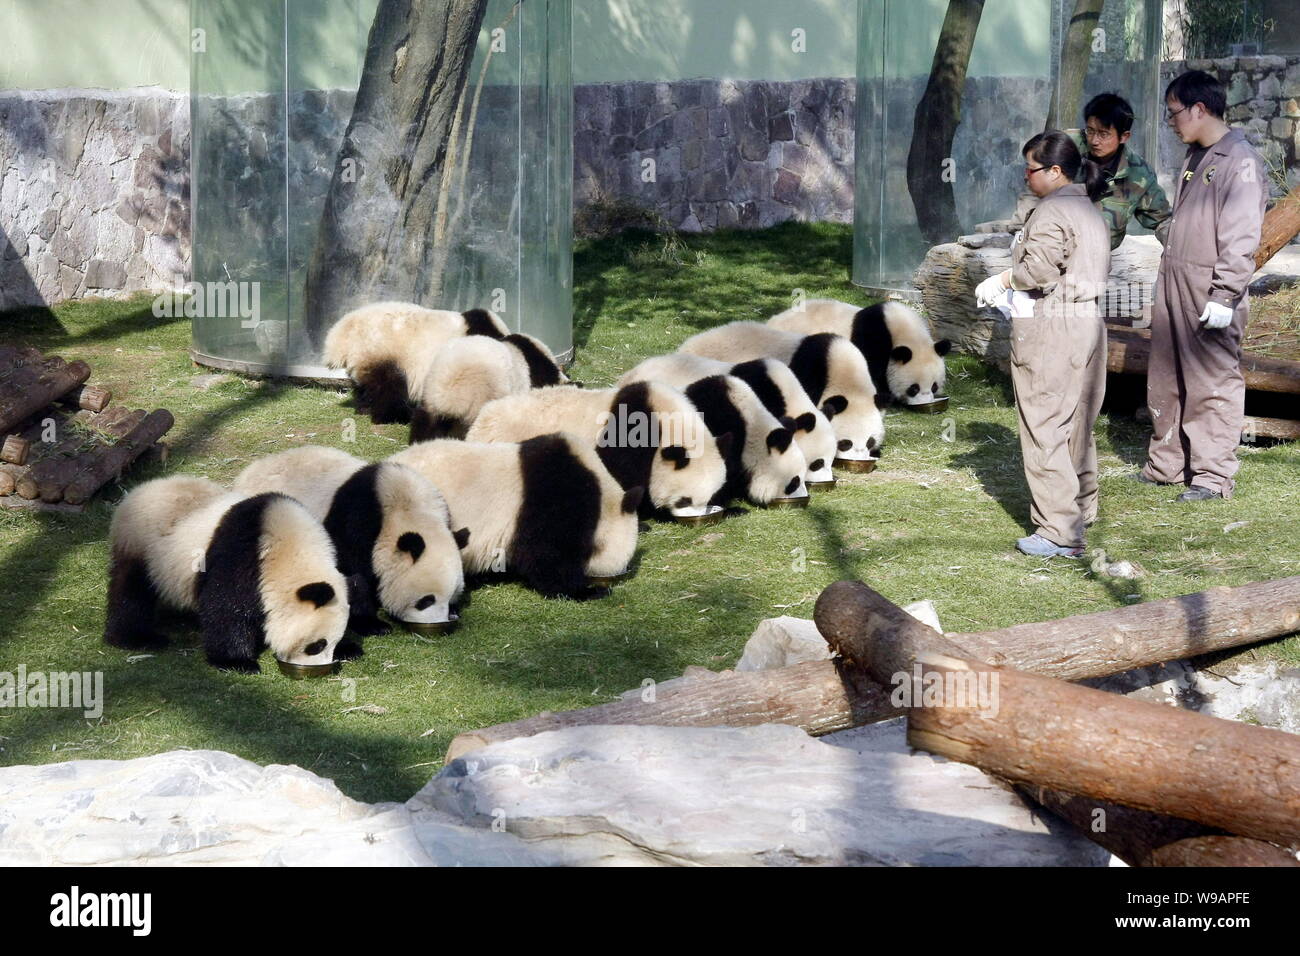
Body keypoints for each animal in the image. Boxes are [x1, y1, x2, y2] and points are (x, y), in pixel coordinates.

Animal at [104, 476, 352, 673]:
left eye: (331, 643)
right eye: (317, 645)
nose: (318, 666)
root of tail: (140, 489)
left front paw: (350, 648)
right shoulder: (241, 558)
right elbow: (225, 609)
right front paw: (237, 662)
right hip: (141, 545)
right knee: (131, 592)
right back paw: (136, 638)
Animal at [232, 446, 469, 635]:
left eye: (451, 597)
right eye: (426, 600)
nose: (437, 625)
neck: (406, 506)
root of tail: (247, 473)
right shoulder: (356, 521)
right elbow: (353, 574)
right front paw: (373, 625)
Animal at [323, 301, 509, 424]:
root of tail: (341, 333)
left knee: (366, 385)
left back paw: (365, 408)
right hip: (384, 350)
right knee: (390, 385)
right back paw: (396, 416)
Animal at [466, 382, 731, 519]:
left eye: (710, 497)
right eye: (685, 499)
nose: (697, 513)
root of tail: (481, 423)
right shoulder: (631, 433)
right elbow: (622, 474)